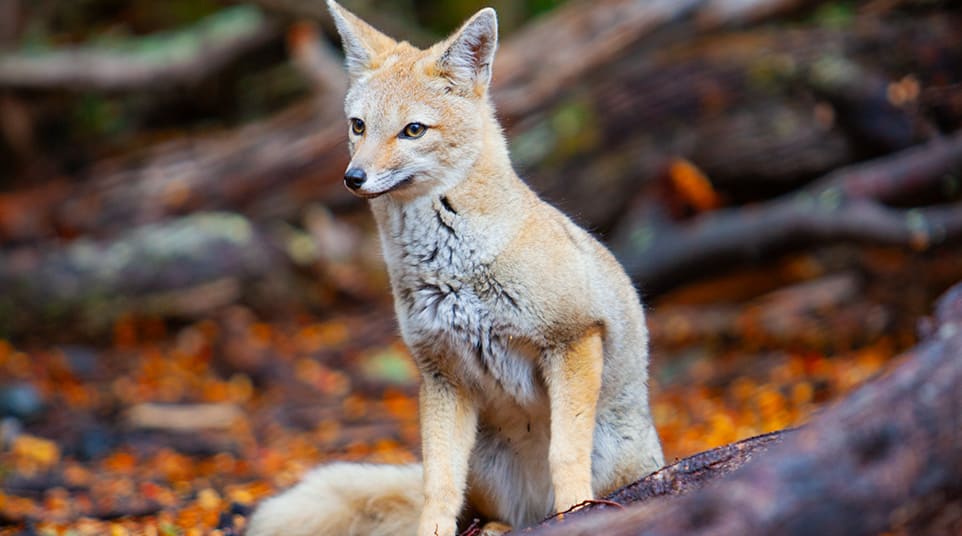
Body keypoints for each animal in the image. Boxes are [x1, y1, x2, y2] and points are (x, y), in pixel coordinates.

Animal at [247, 2, 664, 535]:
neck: (450, 267)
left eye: (413, 130)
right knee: (487, 509)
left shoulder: (573, 336)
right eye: (359, 126)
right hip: (485, 466)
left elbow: (565, 454)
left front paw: (577, 512)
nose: (353, 178)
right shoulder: (441, 373)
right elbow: (438, 483)